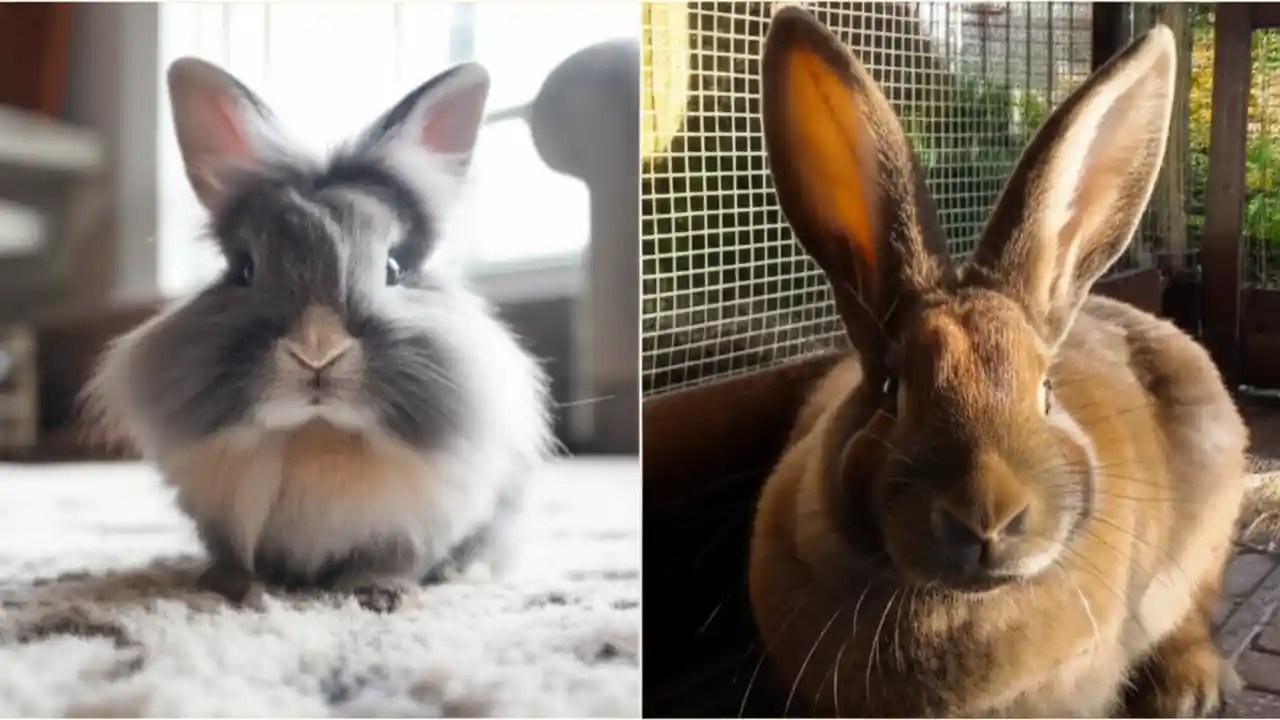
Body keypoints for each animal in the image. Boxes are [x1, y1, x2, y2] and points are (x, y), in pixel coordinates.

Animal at [85, 57, 552, 613]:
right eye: (245, 269)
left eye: (394, 268)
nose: (316, 354)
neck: (316, 434)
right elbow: (235, 558)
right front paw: (227, 587)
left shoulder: (412, 528)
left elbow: (390, 561)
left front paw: (381, 594)